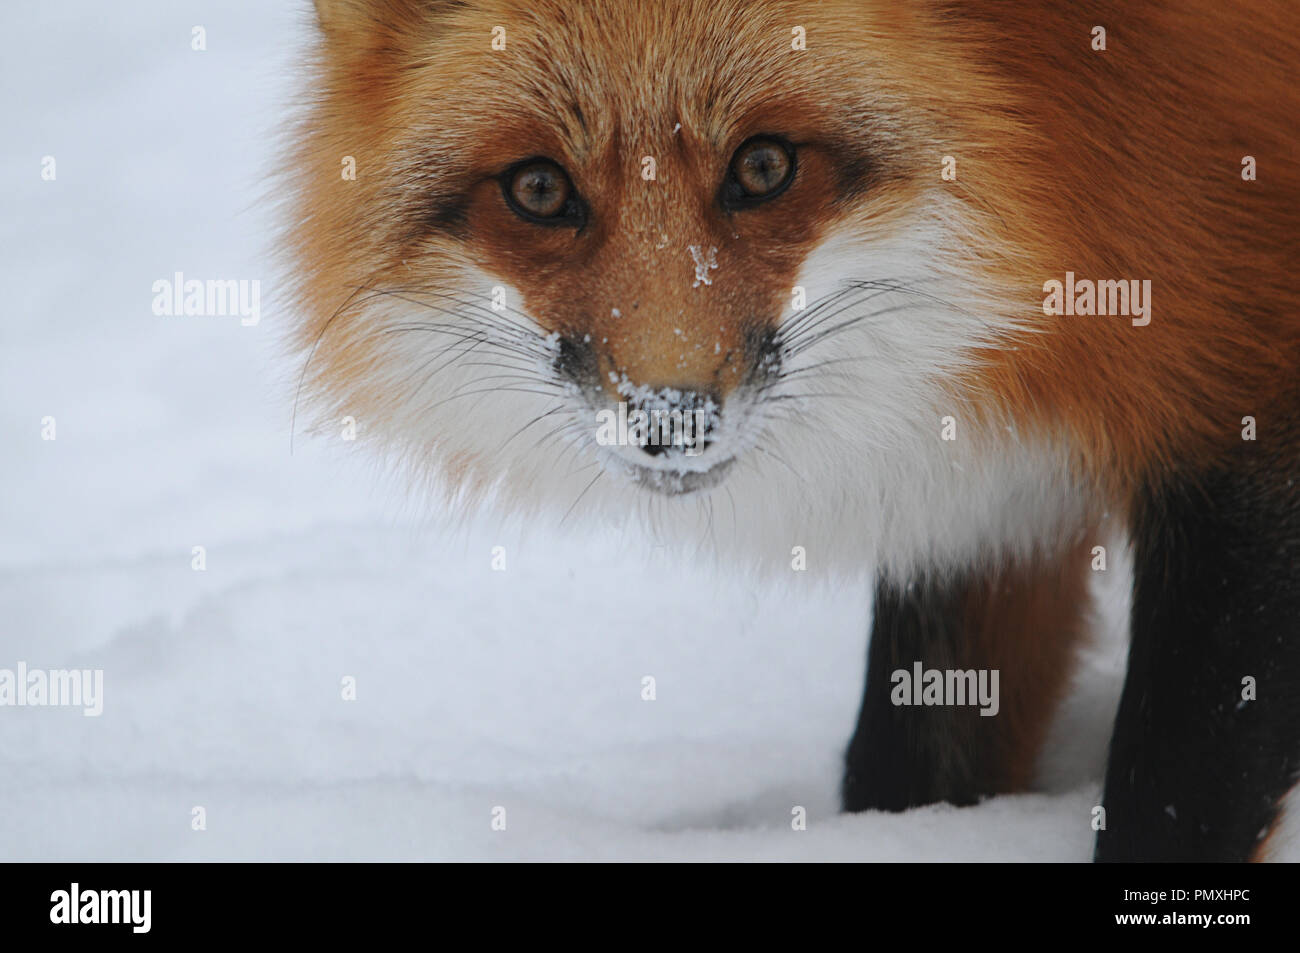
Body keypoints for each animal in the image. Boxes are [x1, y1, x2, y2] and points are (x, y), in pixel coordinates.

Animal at [287, 0, 1300, 861]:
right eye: (538, 188)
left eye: (764, 167)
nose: (672, 416)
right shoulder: (987, 494)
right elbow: (913, 755)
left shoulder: (1243, 411)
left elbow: (1171, 797)